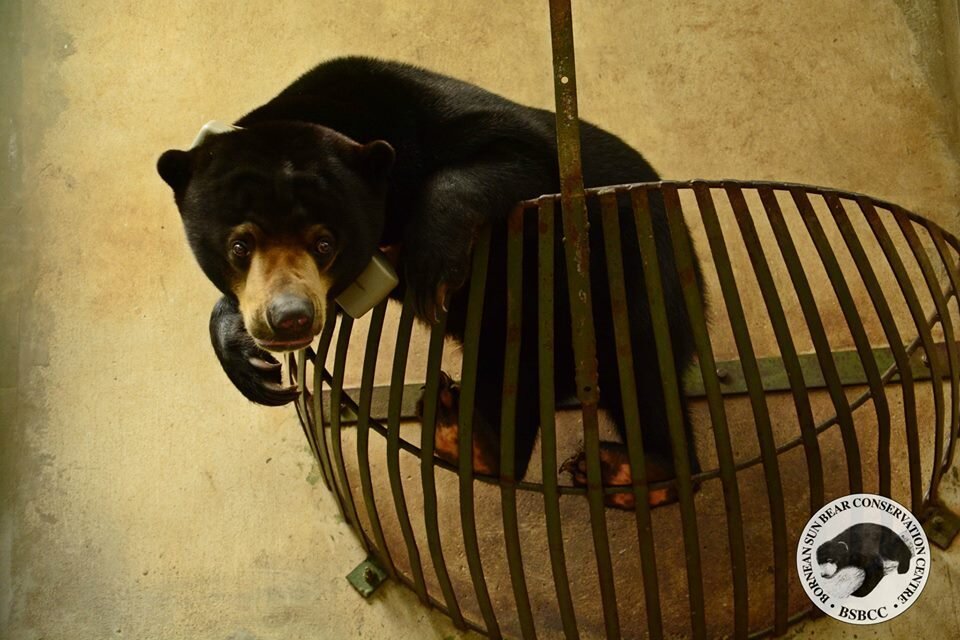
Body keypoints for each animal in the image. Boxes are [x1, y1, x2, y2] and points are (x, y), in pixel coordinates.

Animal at [156, 56, 703, 508]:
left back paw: (636, 469)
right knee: (513, 372)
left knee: (641, 365)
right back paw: (462, 433)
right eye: (240, 245)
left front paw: (429, 268)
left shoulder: (439, 114)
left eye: (325, 242)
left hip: (637, 266)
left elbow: (515, 155)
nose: (289, 318)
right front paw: (250, 362)